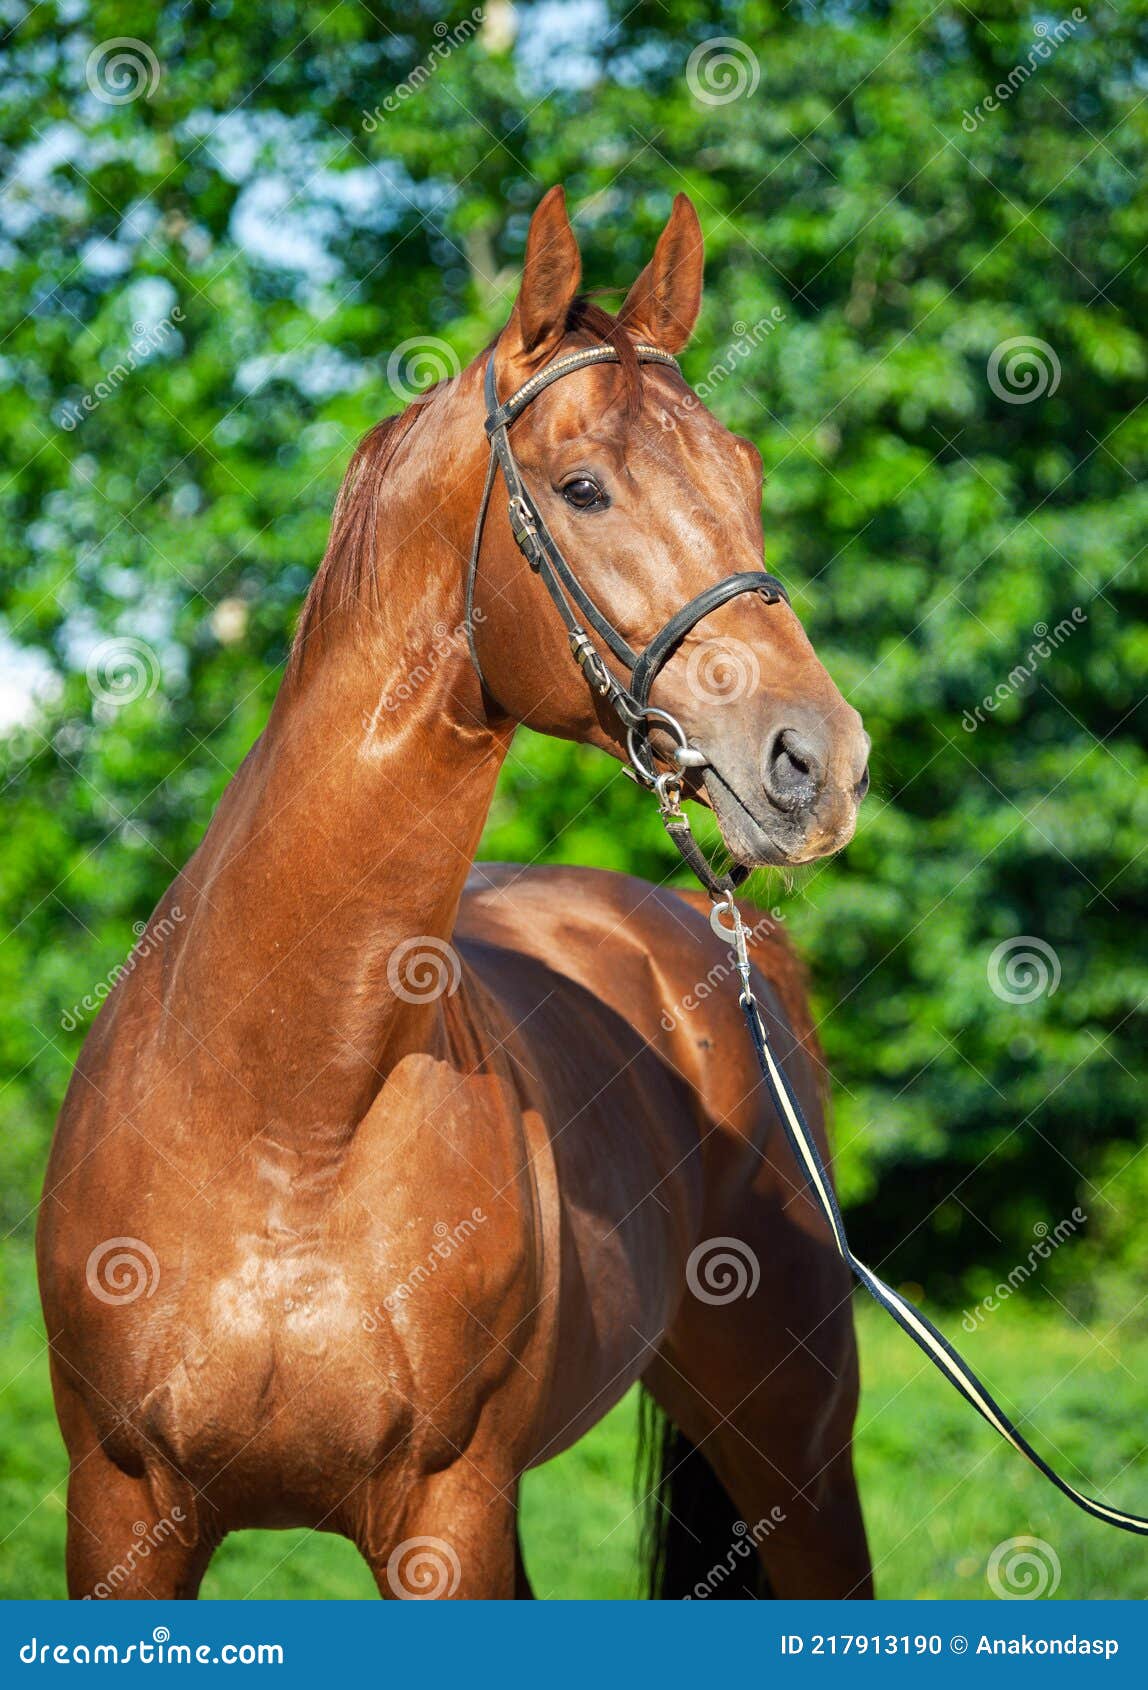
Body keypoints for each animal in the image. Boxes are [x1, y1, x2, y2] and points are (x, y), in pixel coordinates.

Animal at [38, 186, 873, 1600]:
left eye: (747, 476)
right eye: (582, 488)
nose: (819, 761)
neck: (285, 1123)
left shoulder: (446, 1516)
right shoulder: (119, 1513)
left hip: (795, 1445)